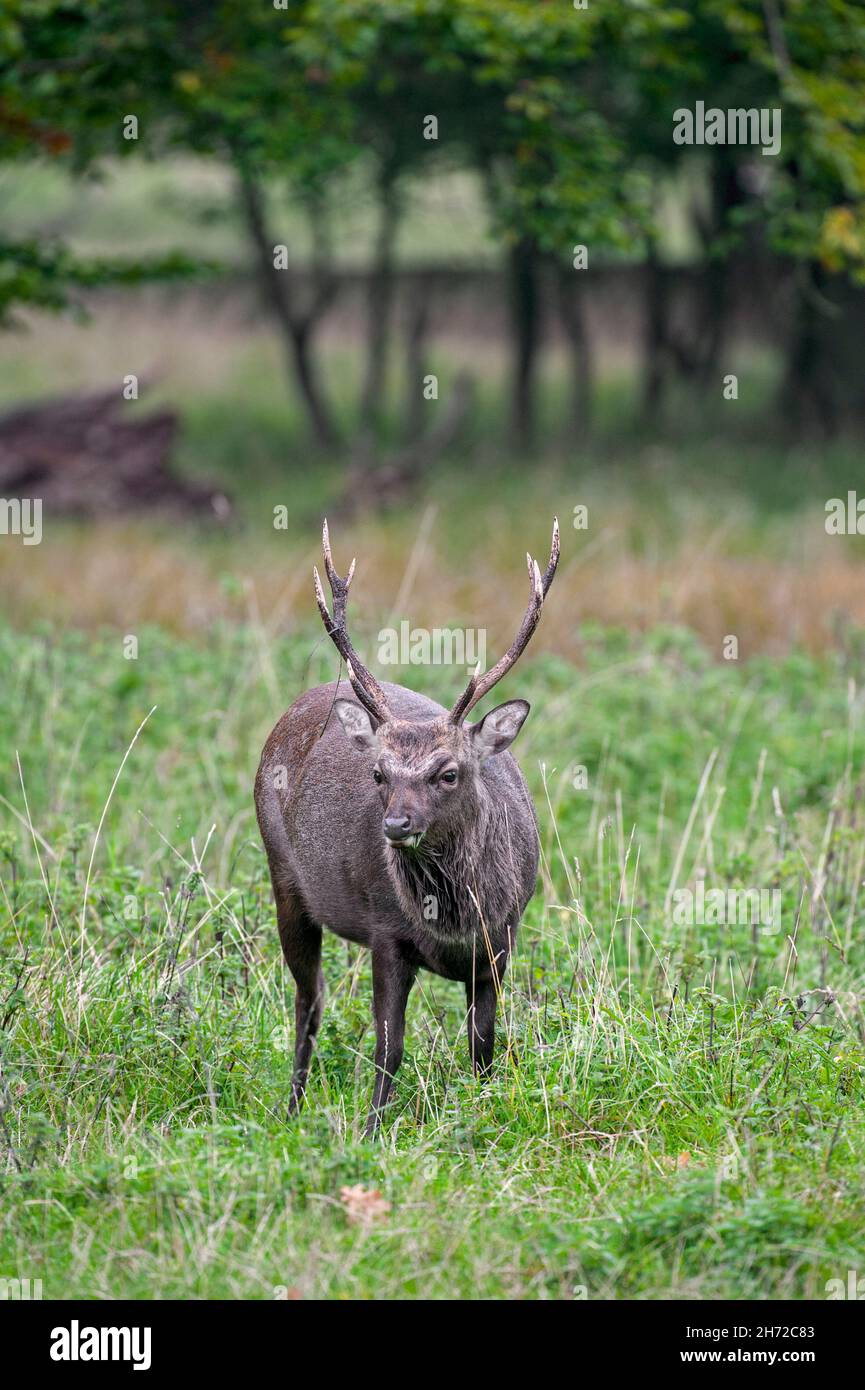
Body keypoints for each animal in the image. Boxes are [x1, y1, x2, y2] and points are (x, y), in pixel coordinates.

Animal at [254, 517, 559, 1136]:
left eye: (449, 772)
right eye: (379, 772)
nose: (395, 825)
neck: (457, 917)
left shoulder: (502, 940)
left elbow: (483, 1046)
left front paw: (483, 1112)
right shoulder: (385, 933)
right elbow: (388, 1047)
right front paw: (371, 1131)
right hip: (285, 881)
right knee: (308, 1002)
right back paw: (292, 1108)